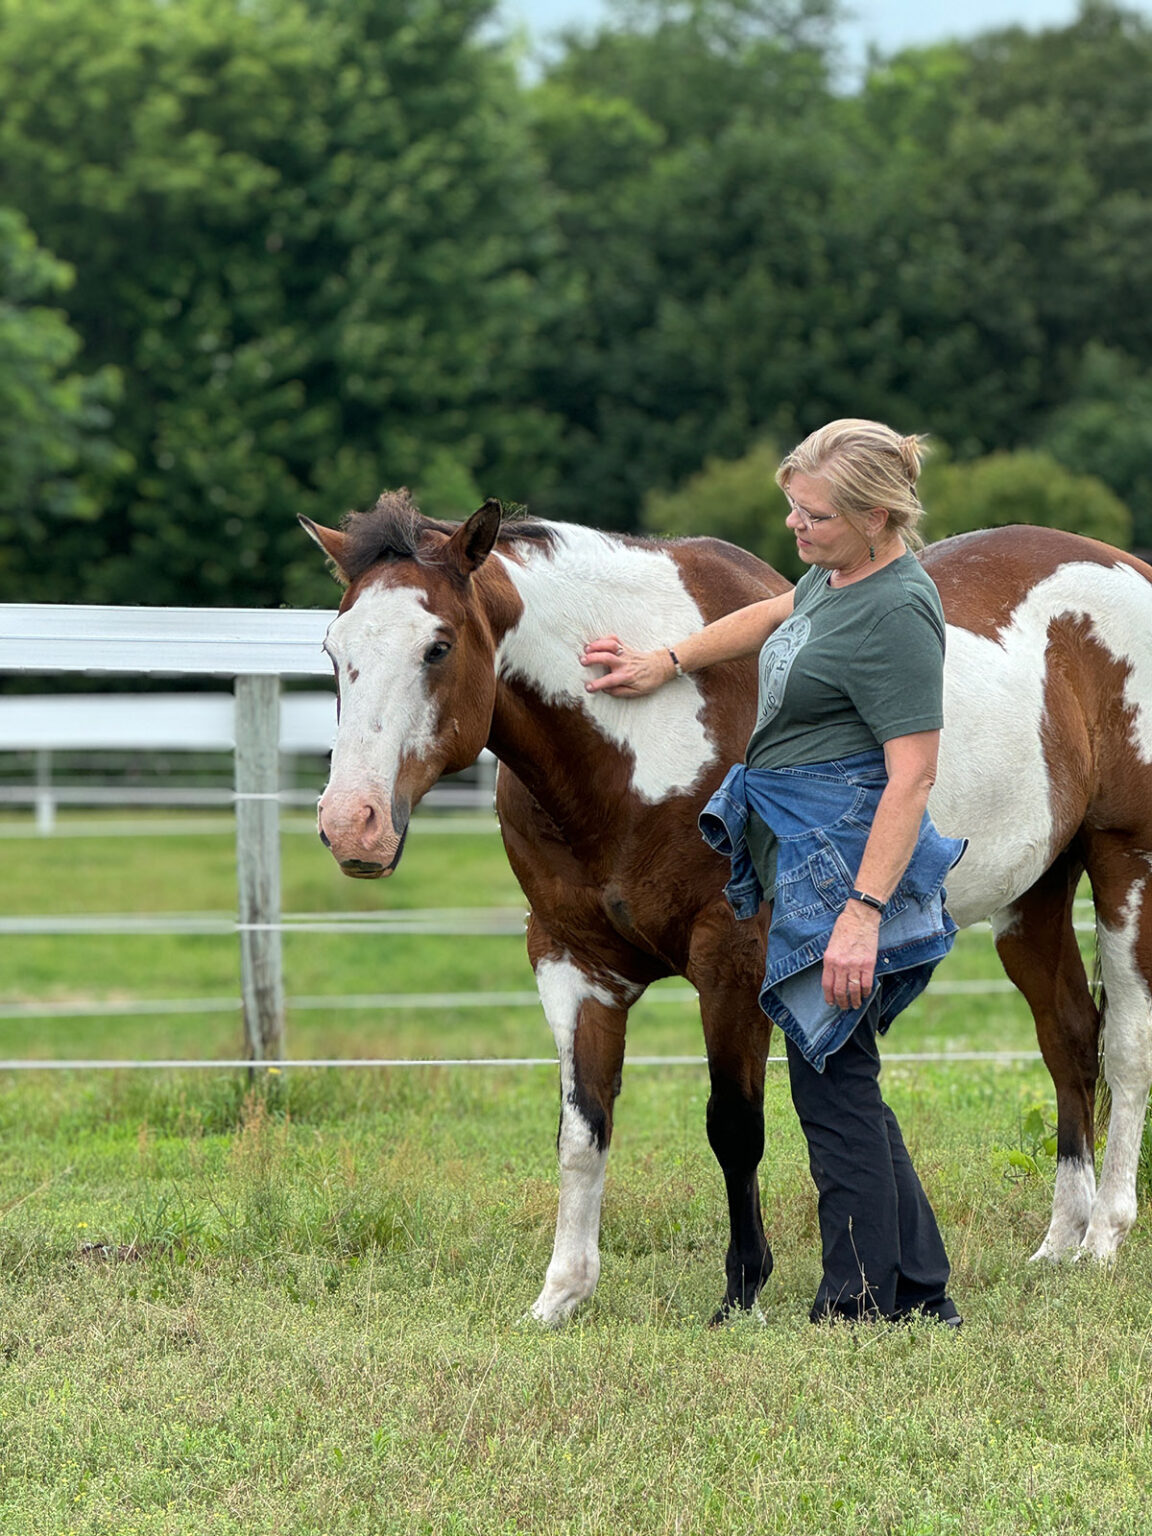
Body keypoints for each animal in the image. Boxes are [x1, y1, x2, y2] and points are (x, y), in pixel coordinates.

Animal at [301, 492, 1152, 1324]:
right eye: (333, 651)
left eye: (438, 647)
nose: (352, 825)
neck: (637, 746)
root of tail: (1128, 568)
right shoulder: (572, 962)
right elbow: (583, 1127)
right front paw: (561, 1294)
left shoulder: (734, 960)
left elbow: (734, 1127)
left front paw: (742, 1291)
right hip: (1033, 896)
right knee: (1069, 1041)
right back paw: (1059, 1243)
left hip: (1125, 868)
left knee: (1125, 1049)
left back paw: (1105, 1238)